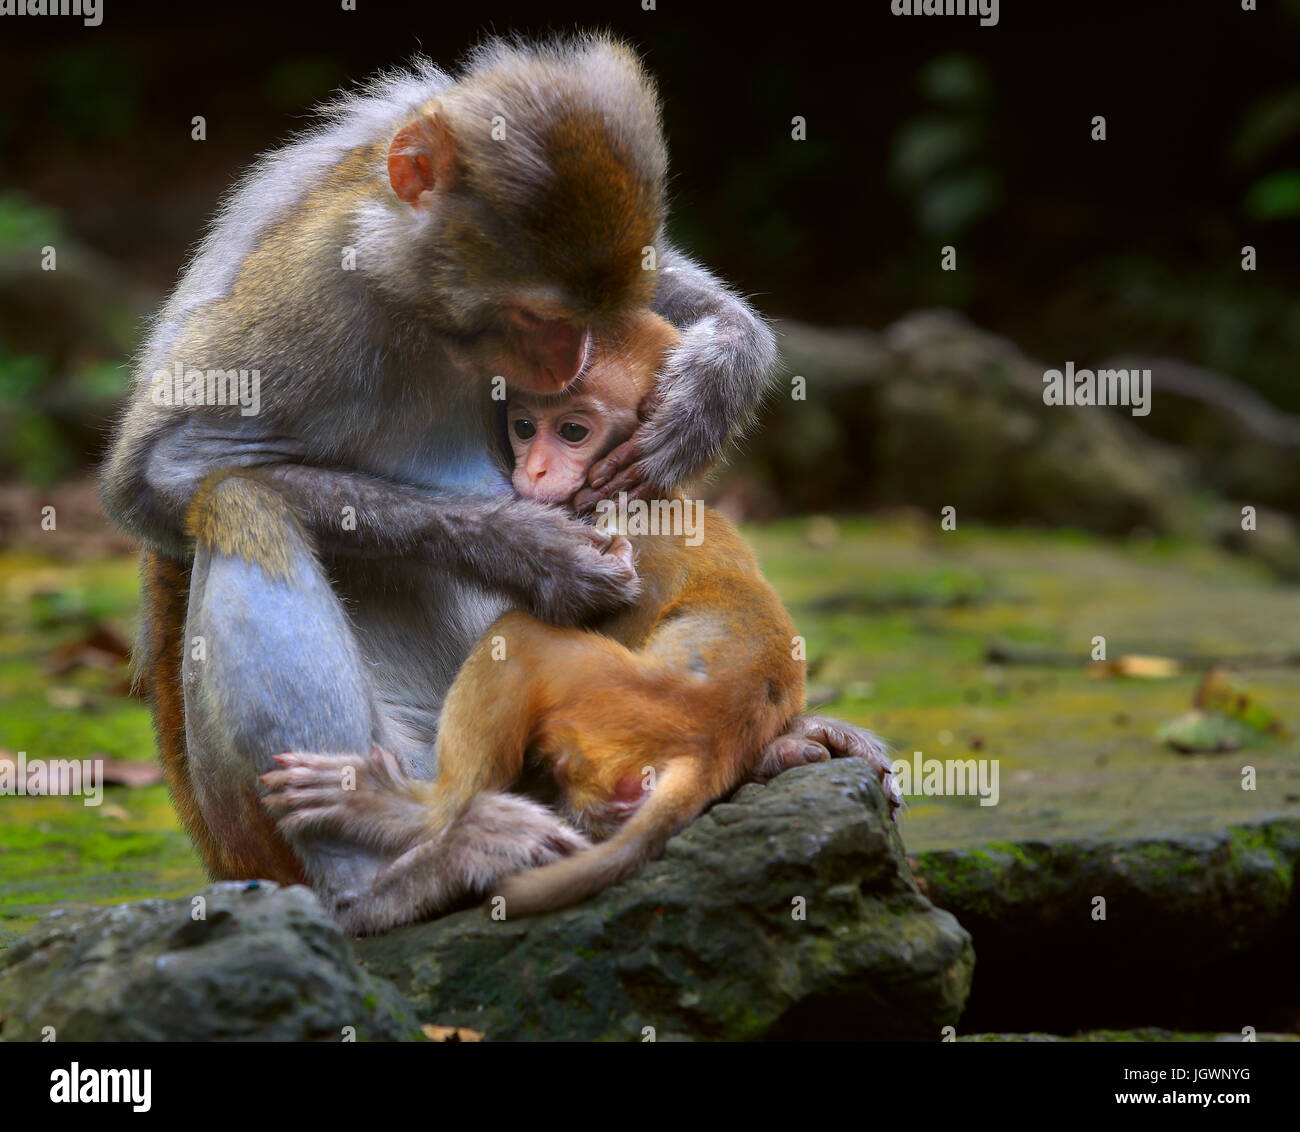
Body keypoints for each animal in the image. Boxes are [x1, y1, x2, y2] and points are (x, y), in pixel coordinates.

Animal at [261, 310, 896, 927]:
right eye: (523, 427)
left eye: (572, 431)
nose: (536, 472)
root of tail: (710, 744)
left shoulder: (630, 542)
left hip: (614, 703)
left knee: (519, 639)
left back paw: (411, 811)